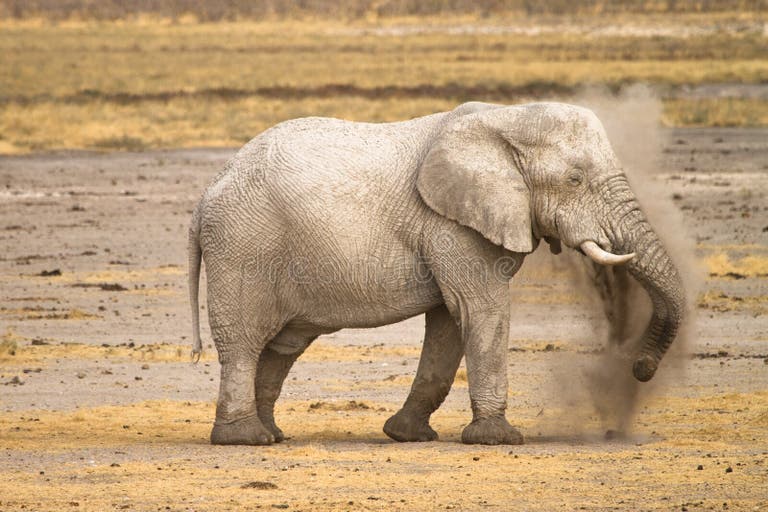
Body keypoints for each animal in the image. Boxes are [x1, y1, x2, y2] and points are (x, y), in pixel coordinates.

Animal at [188, 101, 685, 446]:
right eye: (575, 180)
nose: (639, 368)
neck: (505, 119)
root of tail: (206, 194)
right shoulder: (451, 225)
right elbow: (482, 311)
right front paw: (498, 439)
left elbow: (449, 323)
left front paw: (406, 435)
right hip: (243, 247)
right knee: (244, 343)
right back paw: (244, 439)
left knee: (282, 347)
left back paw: (272, 434)